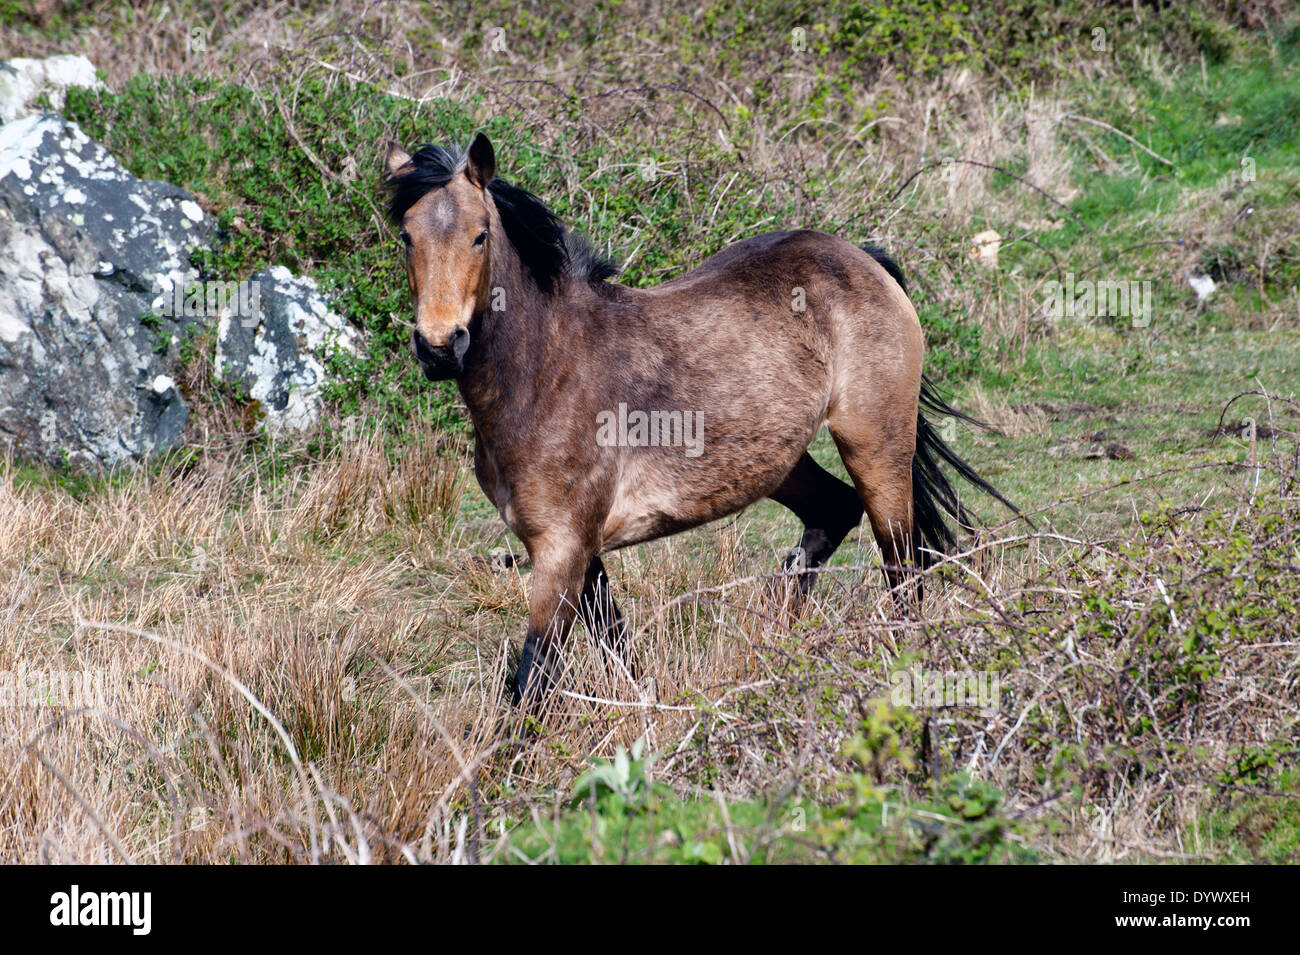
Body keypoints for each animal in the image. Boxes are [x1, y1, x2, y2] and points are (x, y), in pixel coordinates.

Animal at [383, 133, 1018, 704]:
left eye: (479, 235)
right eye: (407, 236)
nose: (440, 348)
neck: (548, 370)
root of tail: (865, 260)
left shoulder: (561, 549)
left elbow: (531, 680)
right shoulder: (579, 551)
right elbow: (617, 648)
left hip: (875, 446)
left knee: (902, 568)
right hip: (774, 461)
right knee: (832, 514)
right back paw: (772, 650)